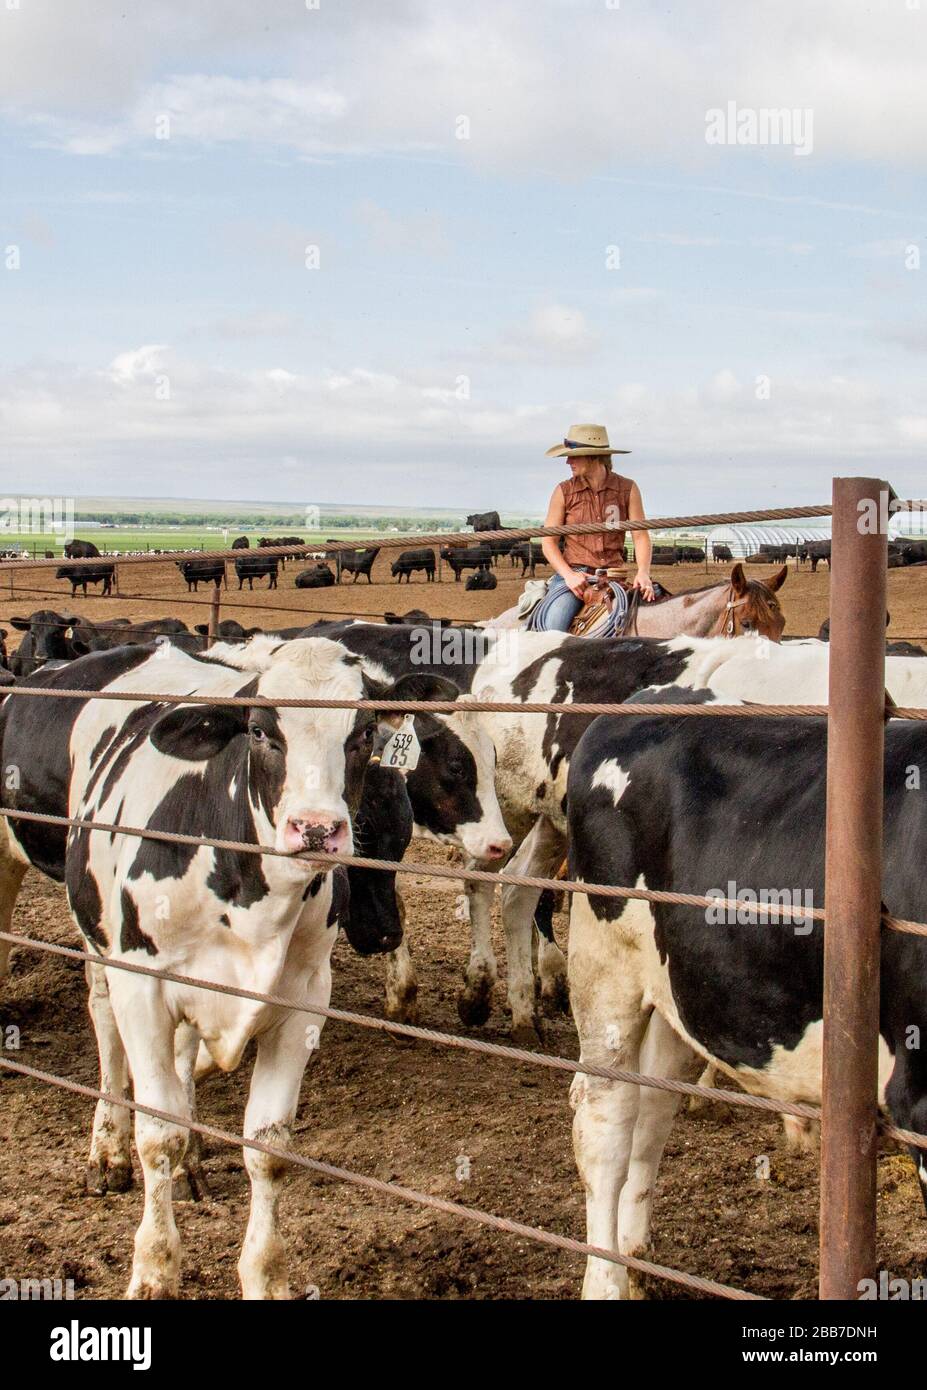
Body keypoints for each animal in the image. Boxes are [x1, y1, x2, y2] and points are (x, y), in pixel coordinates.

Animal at [0, 637, 484, 1298]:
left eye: (362, 732)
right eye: (259, 730)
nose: (316, 829)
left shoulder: (303, 1002)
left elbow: (269, 1146)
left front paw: (265, 1273)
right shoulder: (143, 986)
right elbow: (158, 1133)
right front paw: (154, 1267)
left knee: (182, 1064)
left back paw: (193, 1162)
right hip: (89, 930)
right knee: (106, 1029)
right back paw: (108, 1149)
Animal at [565, 709, 927, 1298]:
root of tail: (627, 713)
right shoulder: (918, 1095)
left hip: (678, 992)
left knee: (652, 1110)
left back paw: (637, 1260)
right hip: (604, 971)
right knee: (604, 1125)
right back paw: (606, 1280)